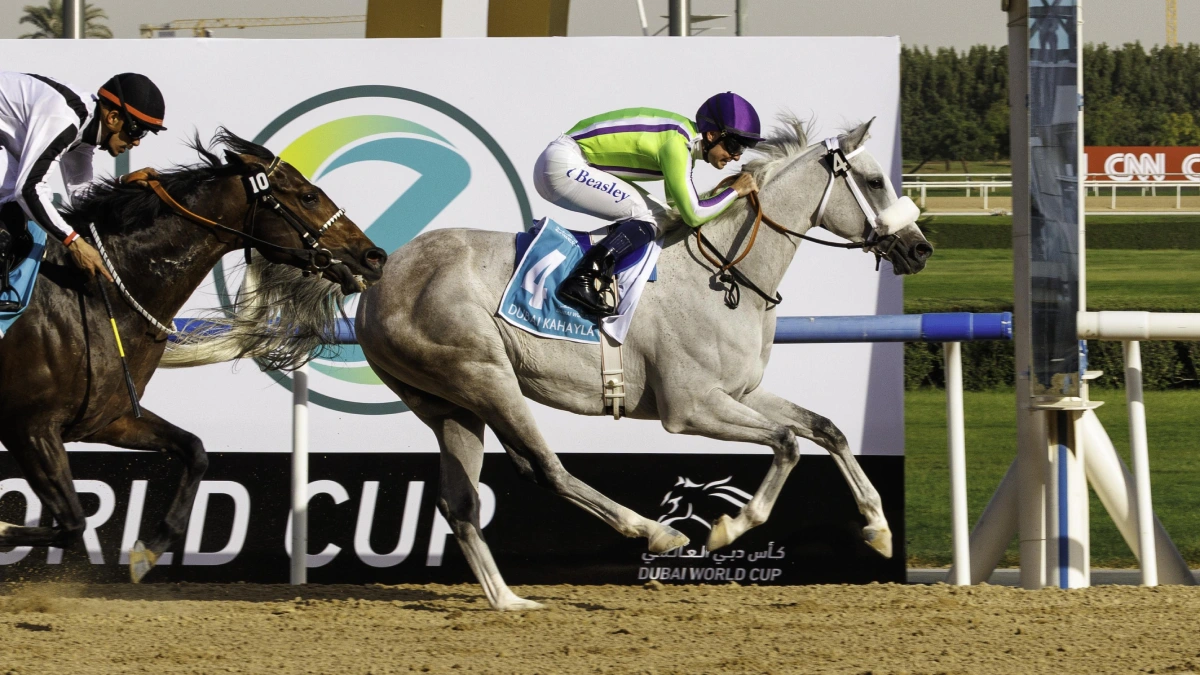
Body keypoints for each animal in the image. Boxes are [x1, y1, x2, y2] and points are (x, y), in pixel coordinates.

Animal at [0, 130, 386, 582]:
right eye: (309, 196)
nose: (374, 256)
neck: (96, 290)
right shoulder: (30, 427)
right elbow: (72, 523)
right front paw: (5, 526)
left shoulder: (106, 417)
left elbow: (195, 451)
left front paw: (148, 551)